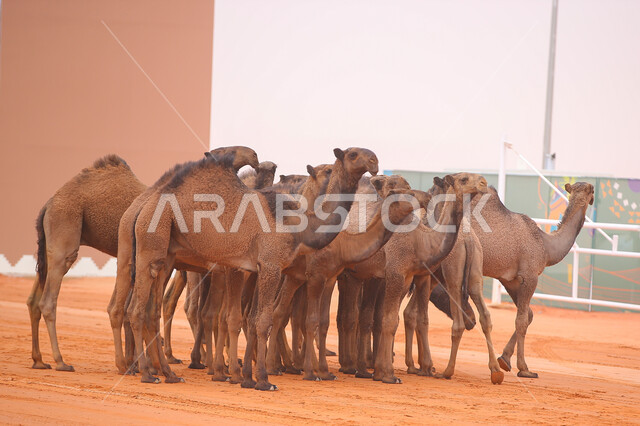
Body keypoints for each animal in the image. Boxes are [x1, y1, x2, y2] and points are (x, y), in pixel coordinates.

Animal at [28, 155, 147, 371]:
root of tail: (48, 205)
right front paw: (132, 365)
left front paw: (133, 364)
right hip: (65, 233)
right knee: (48, 301)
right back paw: (61, 361)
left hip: (48, 248)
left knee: (33, 299)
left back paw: (39, 360)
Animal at [127, 147, 378, 390]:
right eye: (353, 154)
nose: (374, 162)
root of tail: (143, 205)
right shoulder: (271, 265)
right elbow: (264, 320)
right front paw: (264, 380)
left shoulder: (255, 269)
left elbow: (252, 318)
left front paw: (247, 378)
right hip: (151, 243)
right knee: (138, 310)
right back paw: (148, 374)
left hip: (168, 256)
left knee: (151, 311)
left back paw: (169, 374)